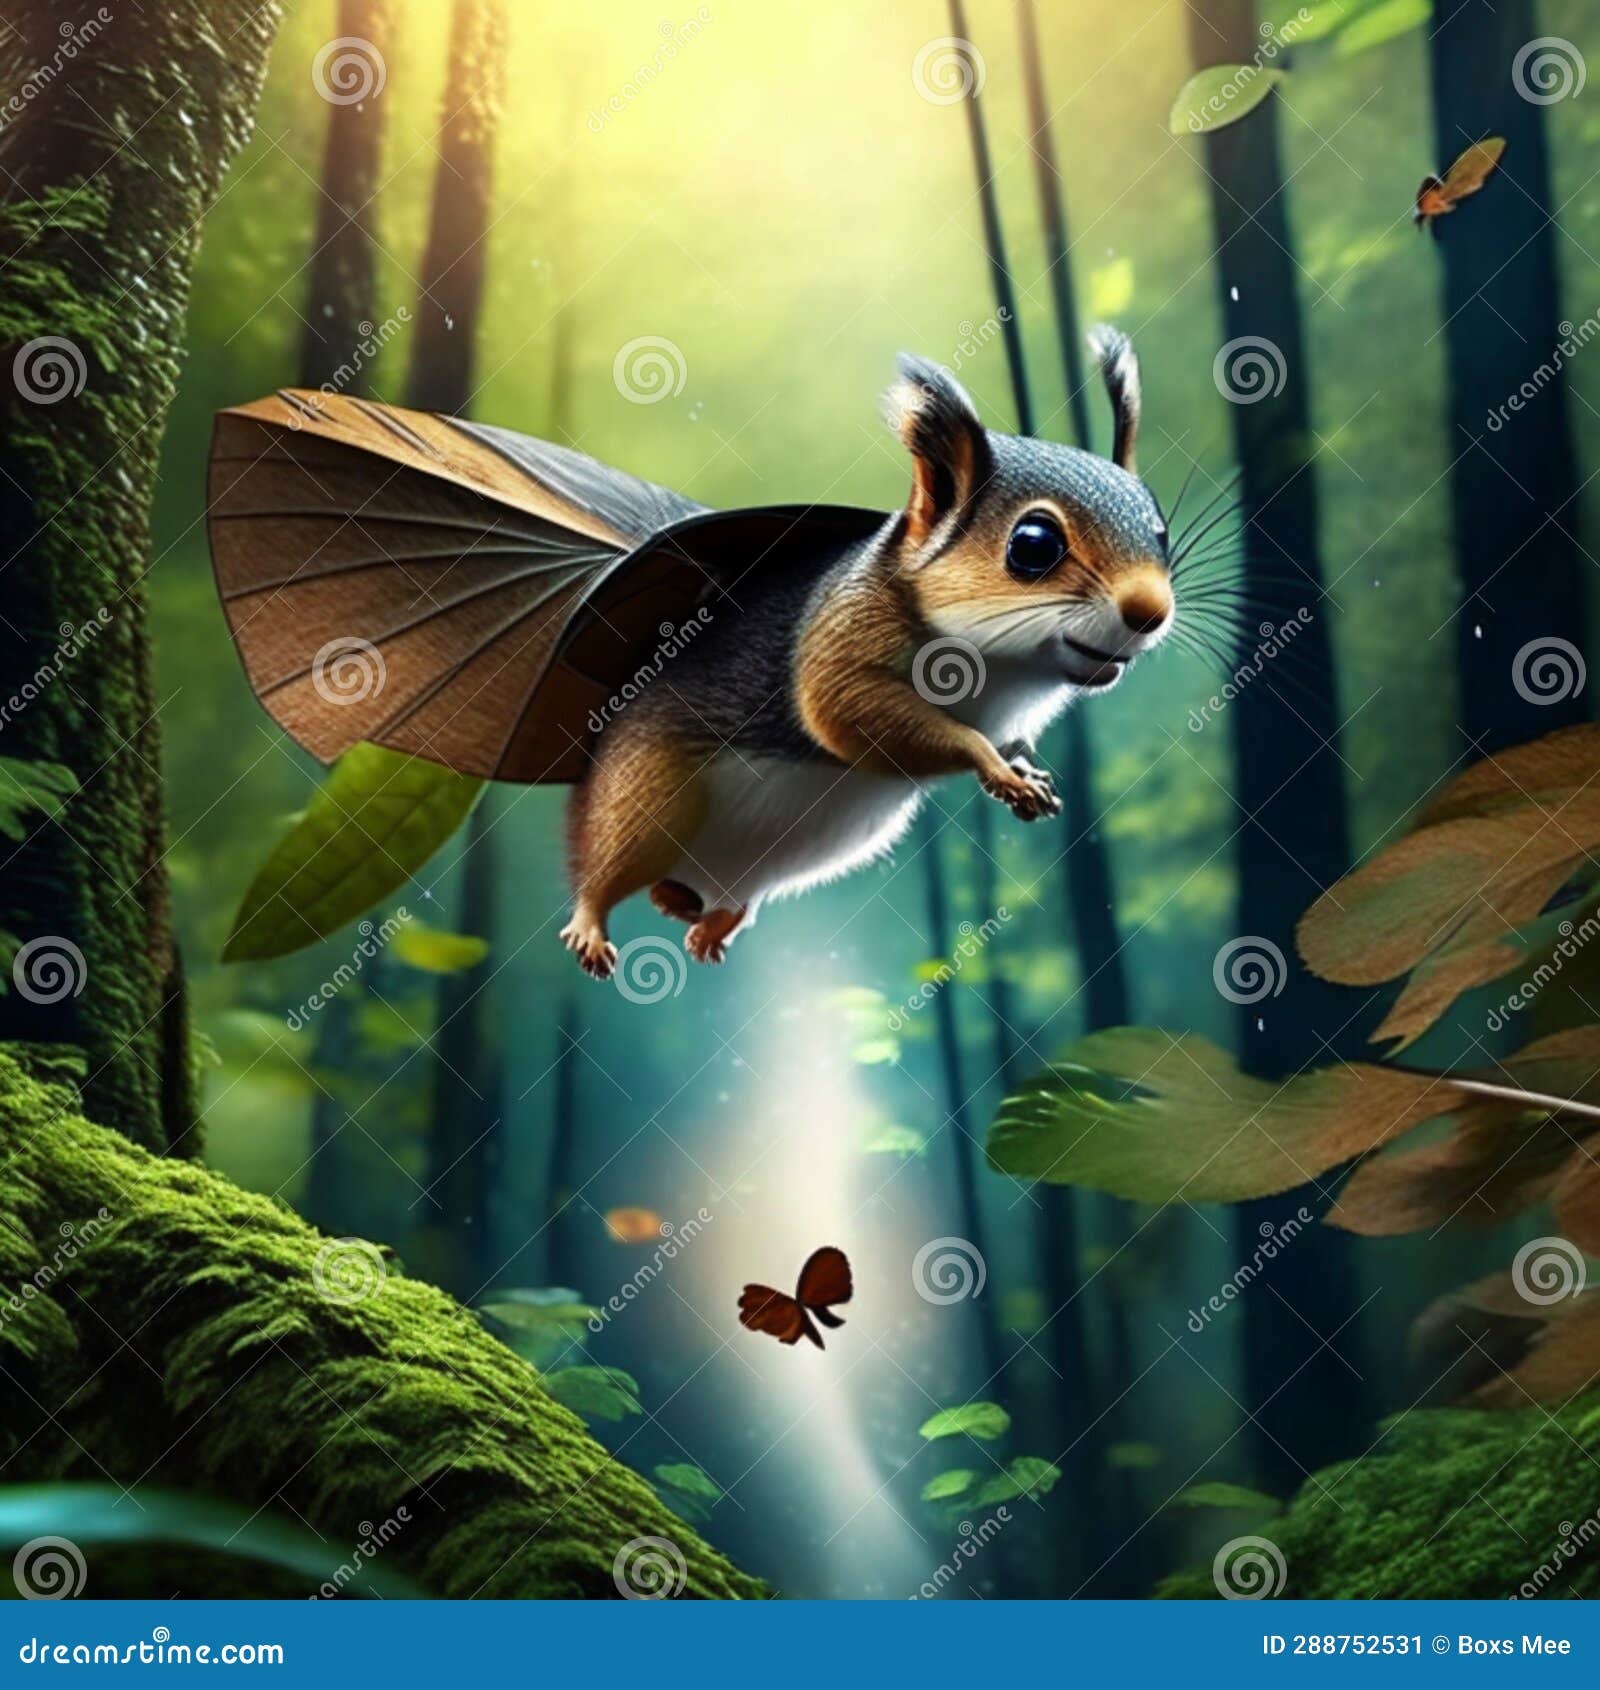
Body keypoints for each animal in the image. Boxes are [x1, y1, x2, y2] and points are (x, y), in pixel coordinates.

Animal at [207, 328, 1172, 981]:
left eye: (1159, 523)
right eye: (1033, 545)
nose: (1150, 613)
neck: (1007, 675)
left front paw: (1023, 764)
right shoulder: (841, 640)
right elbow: (851, 717)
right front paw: (995, 768)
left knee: (706, 895)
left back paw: (710, 920)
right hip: (648, 793)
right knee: (609, 862)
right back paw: (595, 920)